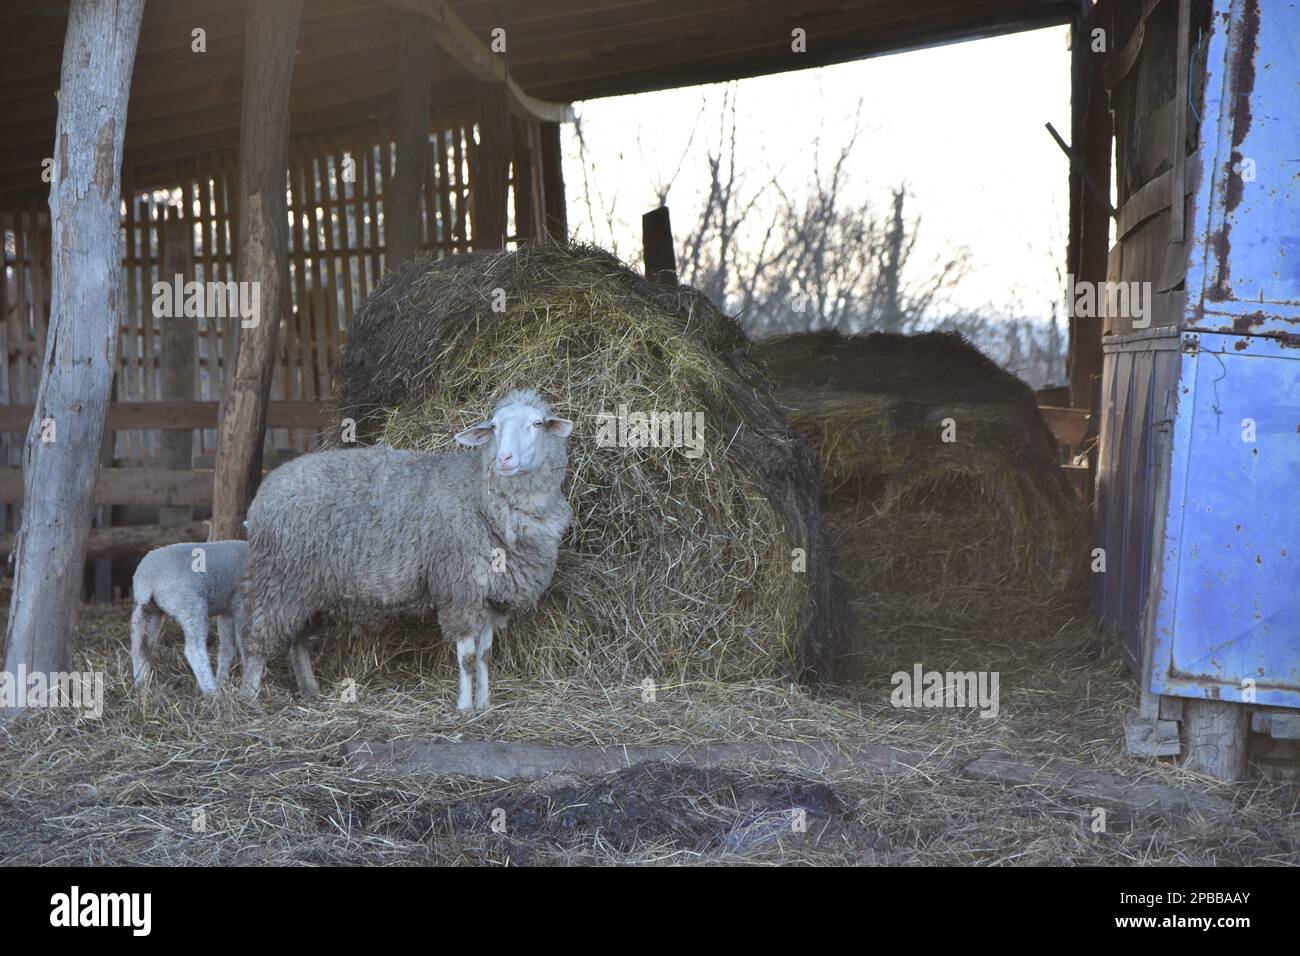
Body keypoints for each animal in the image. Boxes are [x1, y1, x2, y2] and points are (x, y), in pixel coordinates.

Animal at [130, 540, 249, 695]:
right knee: (194, 650)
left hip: (146, 609)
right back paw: (212, 692)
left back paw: (141, 685)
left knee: (140, 647)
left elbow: (227, 647)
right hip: (191, 605)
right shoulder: (240, 604)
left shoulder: (227, 610)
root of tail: (149, 578)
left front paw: (222, 679)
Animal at [239, 389, 574, 710]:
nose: (504, 458)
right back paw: (249, 698)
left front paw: (485, 704)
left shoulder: (490, 597)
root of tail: (266, 489)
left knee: (296, 639)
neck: (481, 495)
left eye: (537, 423)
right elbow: (466, 658)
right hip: (279, 578)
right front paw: (465, 708)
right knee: (256, 640)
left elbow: (484, 656)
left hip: (303, 587)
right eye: (494, 426)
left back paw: (309, 689)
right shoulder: (460, 589)